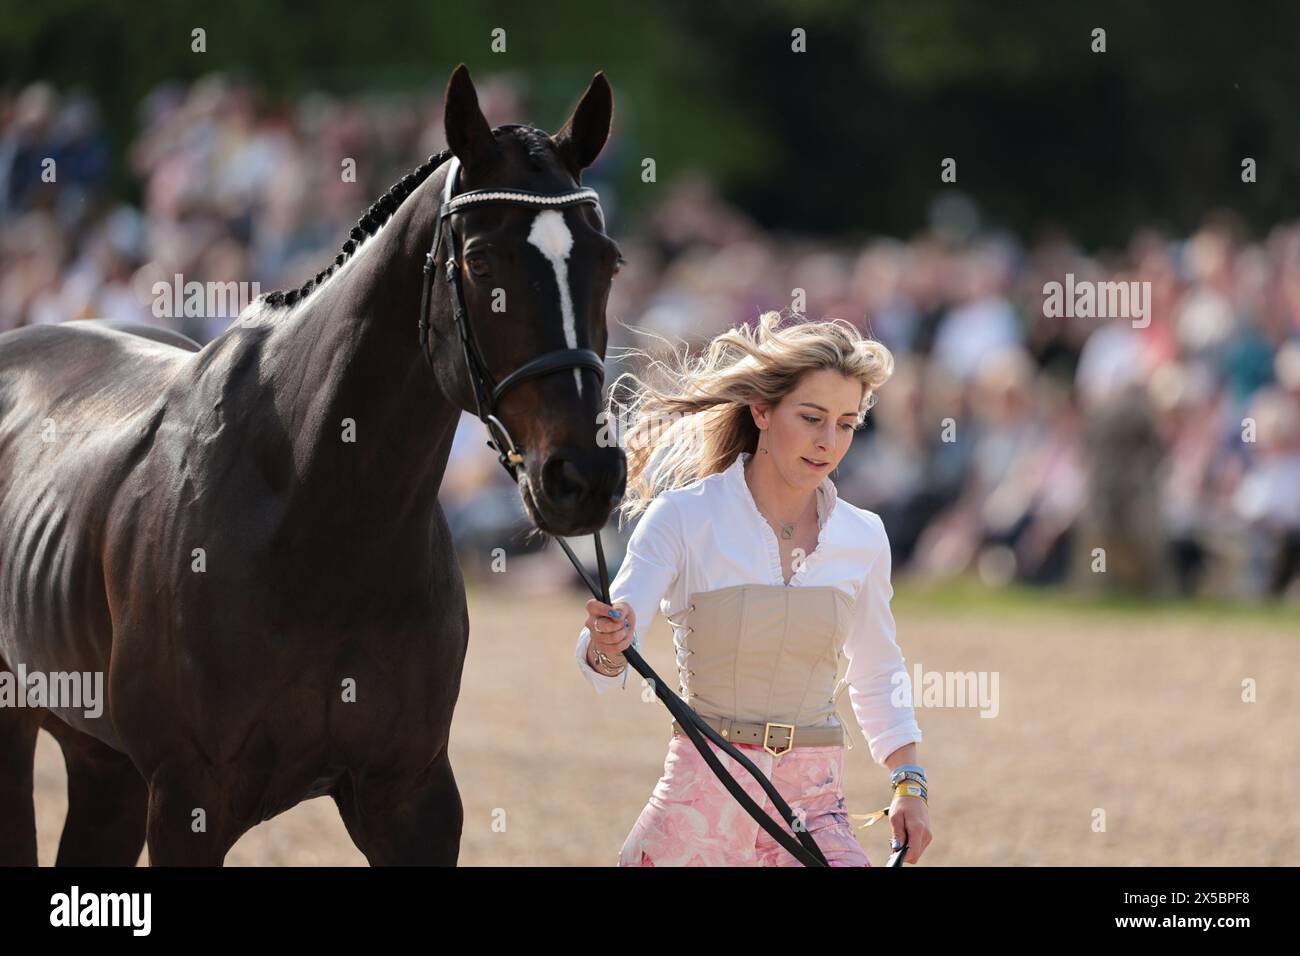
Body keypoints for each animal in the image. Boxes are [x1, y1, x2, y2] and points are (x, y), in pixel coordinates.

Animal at [0, 64, 626, 865]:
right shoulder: (187, 799)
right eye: (481, 259)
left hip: (101, 760)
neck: (313, 515)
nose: (583, 477)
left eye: (608, 262)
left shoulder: (411, 796)